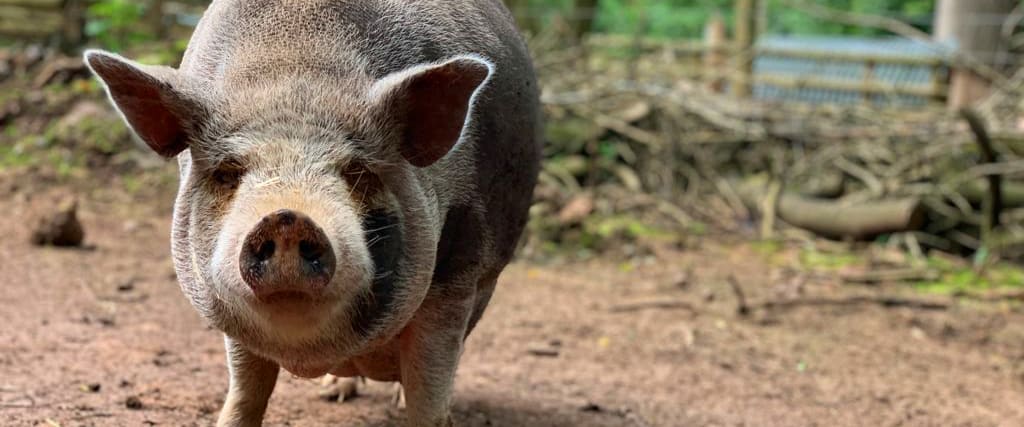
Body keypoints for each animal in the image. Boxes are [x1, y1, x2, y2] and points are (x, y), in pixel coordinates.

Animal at [83, 1, 540, 426]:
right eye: (228, 171)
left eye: (358, 171)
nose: (286, 218)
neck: (296, 72)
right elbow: (247, 388)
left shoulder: (459, 274)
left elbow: (429, 391)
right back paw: (333, 393)